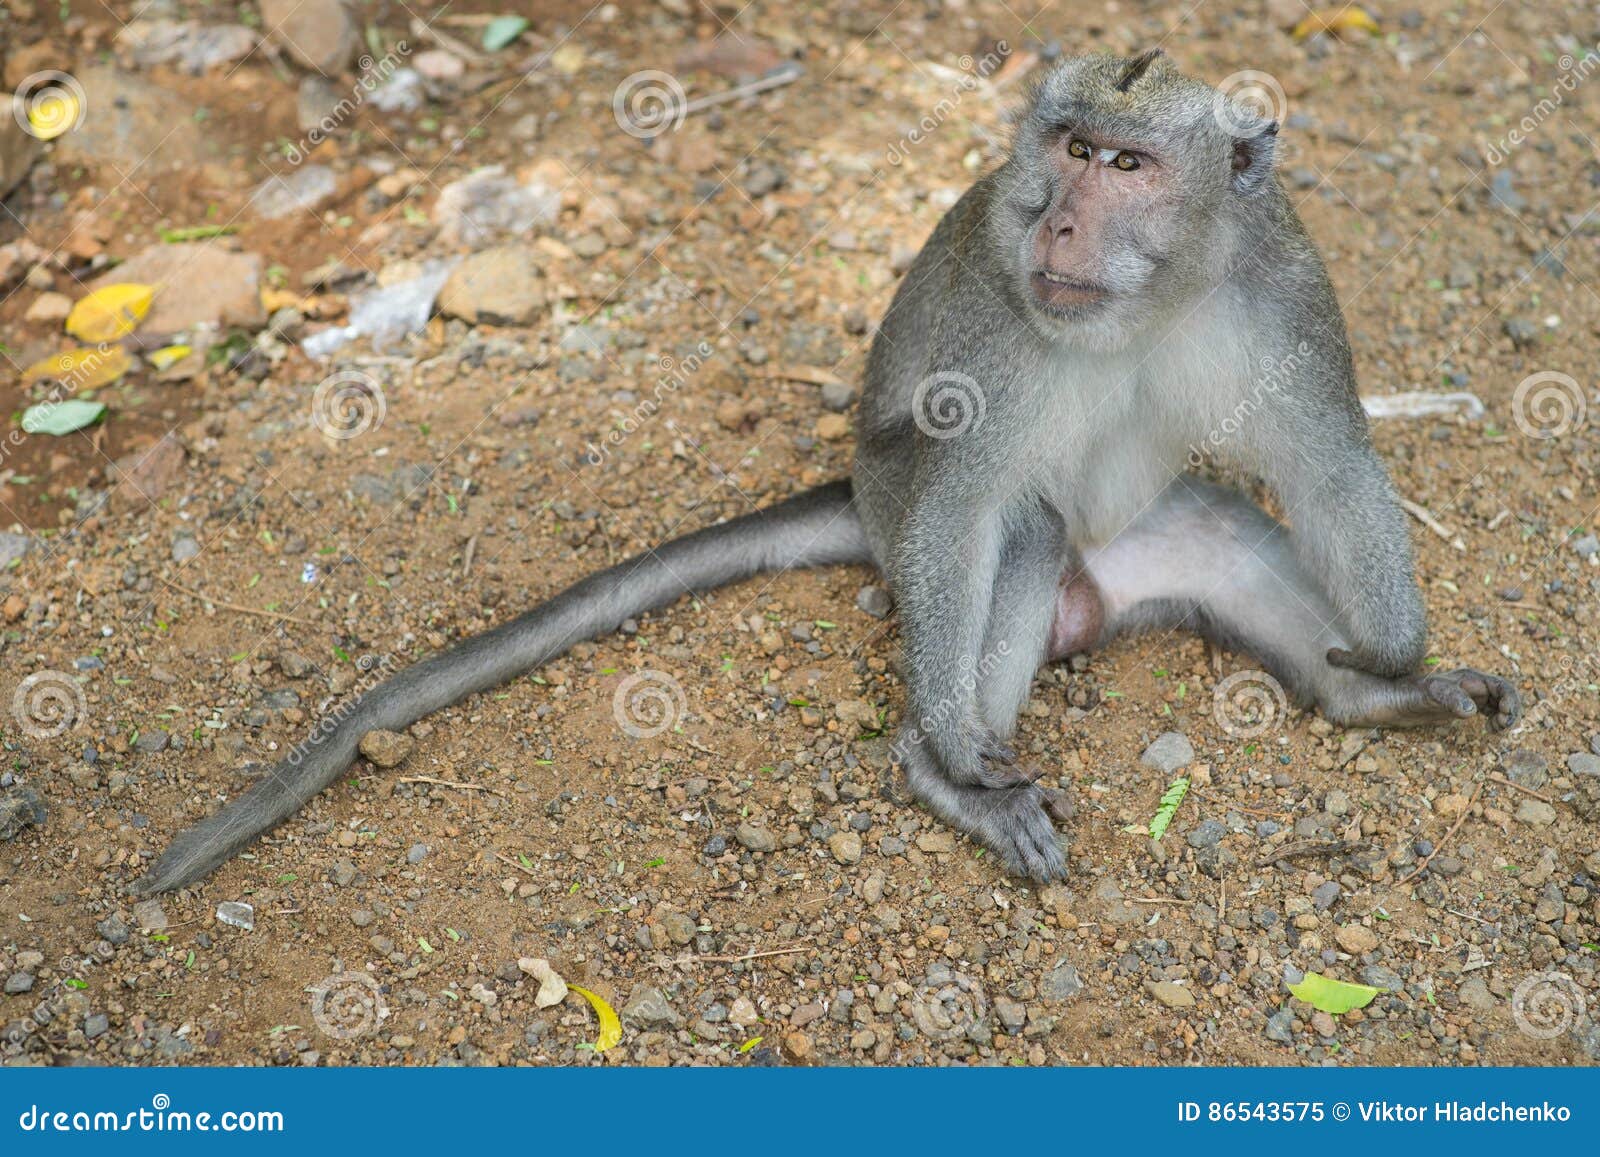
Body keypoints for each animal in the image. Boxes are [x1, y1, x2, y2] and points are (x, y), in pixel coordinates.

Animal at [135, 49, 1519, 895]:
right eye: (1068, 149)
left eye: (1125, 165)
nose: (1062, 219)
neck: (1148, 296)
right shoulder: (1000, 330)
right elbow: (965, 501)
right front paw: (953, 749)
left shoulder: (1282, 277)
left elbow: (1327, 457)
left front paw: (1390, 651)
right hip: (899, 507)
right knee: (1010, 532)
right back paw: (944, 770)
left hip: (1161, 538)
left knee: (1232, 540)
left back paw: (1379, 700)